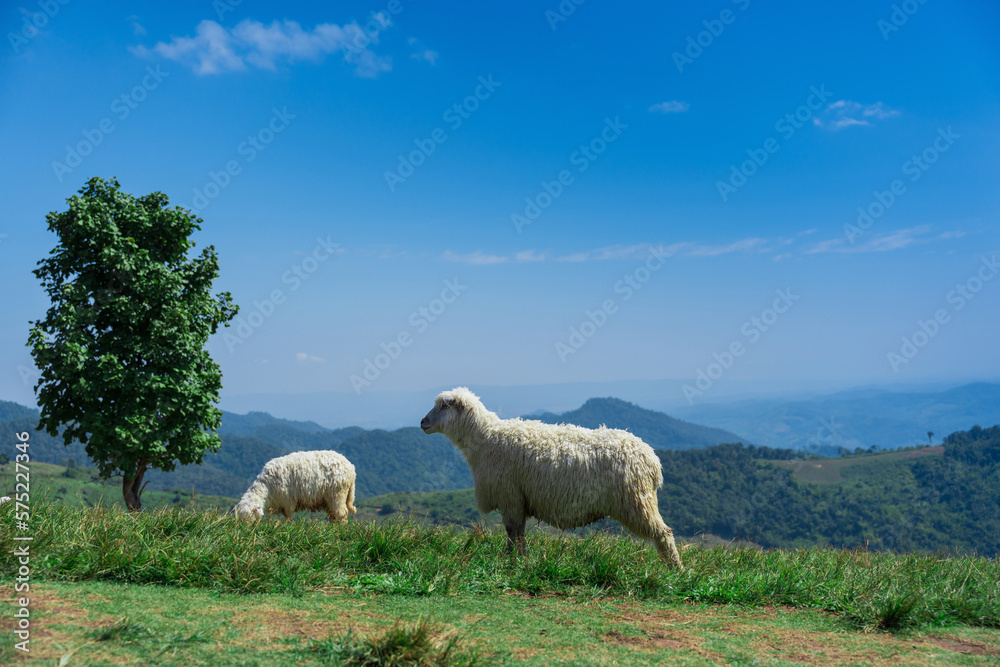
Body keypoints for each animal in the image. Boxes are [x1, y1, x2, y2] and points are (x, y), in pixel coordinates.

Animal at [420, 387, 683, 569]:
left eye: (444, 406)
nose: (423, 422)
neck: (485, 437)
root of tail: (652, 459)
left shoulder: (510, 496)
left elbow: (512, 532)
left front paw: (510, 561)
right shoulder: (518, 499)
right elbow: (519, 533)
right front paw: (521, 559)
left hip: (637, 501)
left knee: (664, 532)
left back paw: (675, 570)